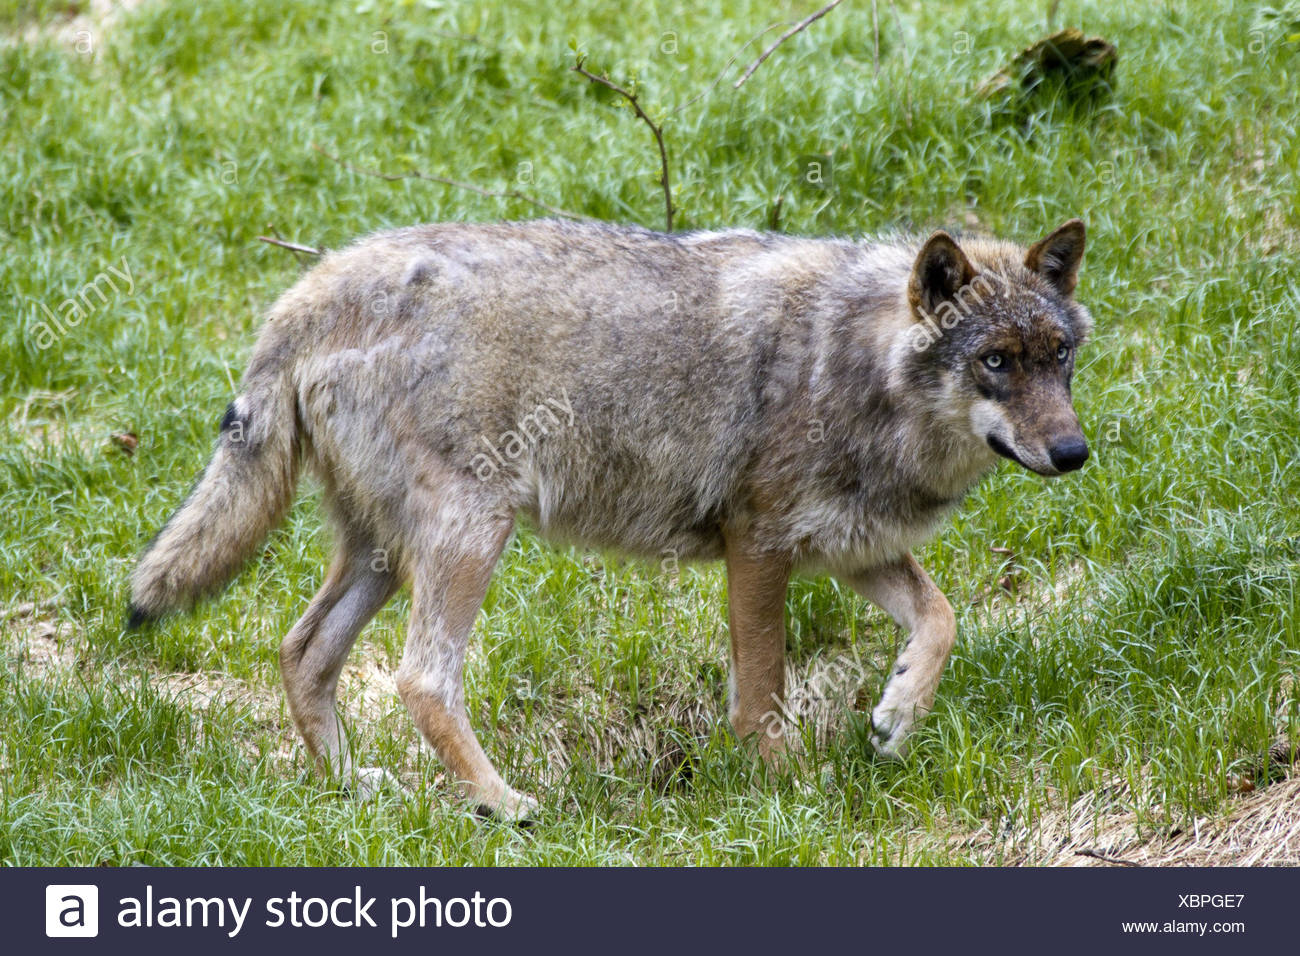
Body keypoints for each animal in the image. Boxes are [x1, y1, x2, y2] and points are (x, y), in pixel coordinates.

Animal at [129, 217, 1092, 820]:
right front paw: (792, 787)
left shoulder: (853, 551)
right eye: (996, 361)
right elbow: (761, 694)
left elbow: (942, 619)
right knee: (421, 678)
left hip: (382, 556)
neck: (852, 366)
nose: (1076, 453)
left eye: (1060, 359)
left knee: (303, 651)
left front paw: (894, 717)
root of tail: (309, 289)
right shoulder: (758, 548)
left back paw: (352, 791)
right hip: (469, 539)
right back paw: (503, 805)